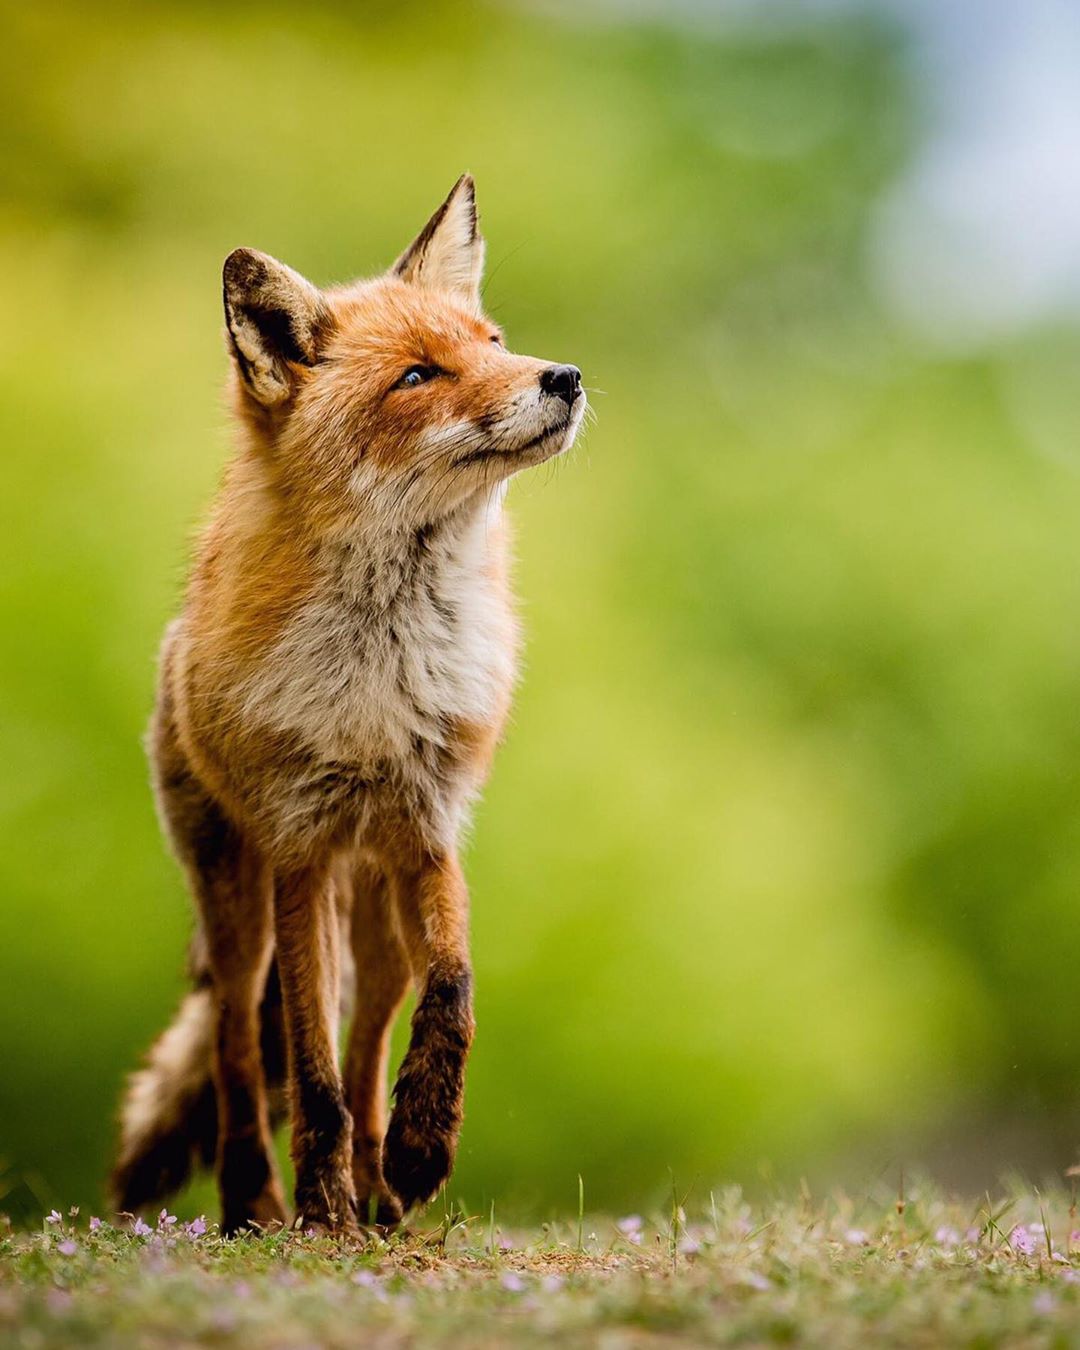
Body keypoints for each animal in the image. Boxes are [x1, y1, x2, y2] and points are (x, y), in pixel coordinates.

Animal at [109, 175, 586, 1234]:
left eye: (494, 342)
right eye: (416, 376)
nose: (566, 377)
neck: (382, 682)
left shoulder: (429, 831)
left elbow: (453, 995)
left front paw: (421, 1146)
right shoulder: (301, 848)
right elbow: (308, 1071)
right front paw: (318, 1208)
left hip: (375, 916)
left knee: (371, 1042)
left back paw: (380, 1182)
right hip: (241, 902)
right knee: (242, 1048)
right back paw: (259, 1202)